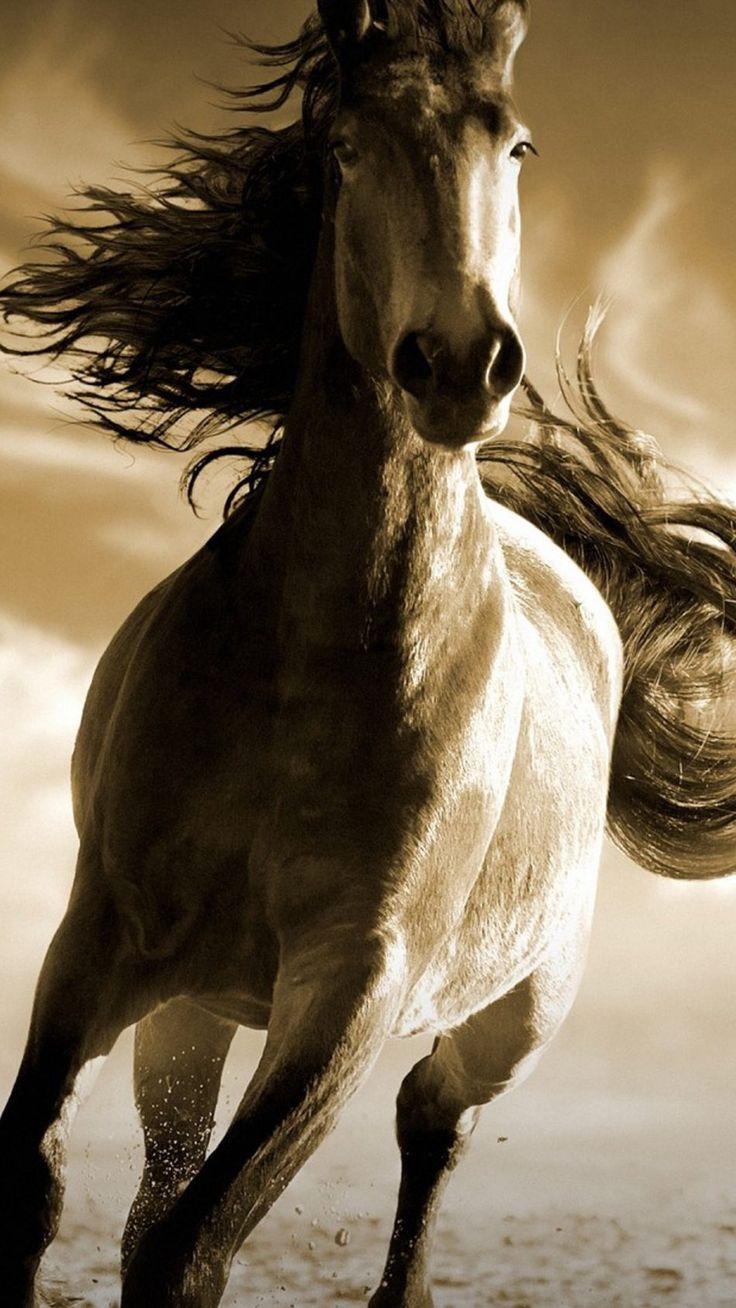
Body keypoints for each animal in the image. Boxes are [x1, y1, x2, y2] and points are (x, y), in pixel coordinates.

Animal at [1, 2, 735, 1304]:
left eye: (516, 144)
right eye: (344, 146)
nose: (458, 363)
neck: (317, 662)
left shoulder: (350, 985)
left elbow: (197, 1242)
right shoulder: (103, 936)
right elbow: (38, 1194)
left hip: (513, 1012)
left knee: (430, 1119)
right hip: (192, 1009)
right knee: (159, 1187)